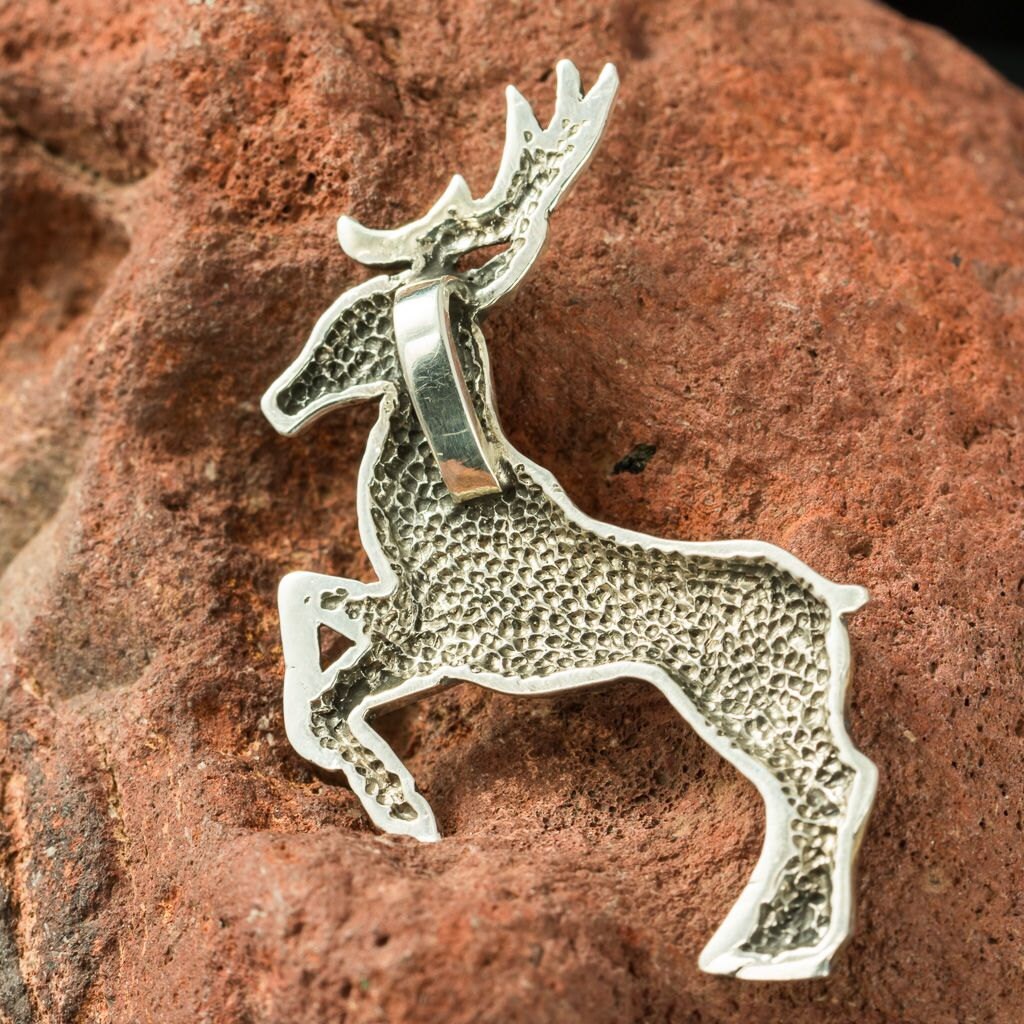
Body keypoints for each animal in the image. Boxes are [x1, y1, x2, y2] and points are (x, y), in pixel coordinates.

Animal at [260, 60, 877, 980]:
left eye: (358, 321)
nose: (282, 400)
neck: (440, 508)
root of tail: (832, 603)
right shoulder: (403, 612)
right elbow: (301, 597)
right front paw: (382, 786)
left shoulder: (440, 640)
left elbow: (325, 692)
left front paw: (401, 805)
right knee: (824, 788)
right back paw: (764, 942)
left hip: (755, 695)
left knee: (836, 783)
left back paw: (768, 952)